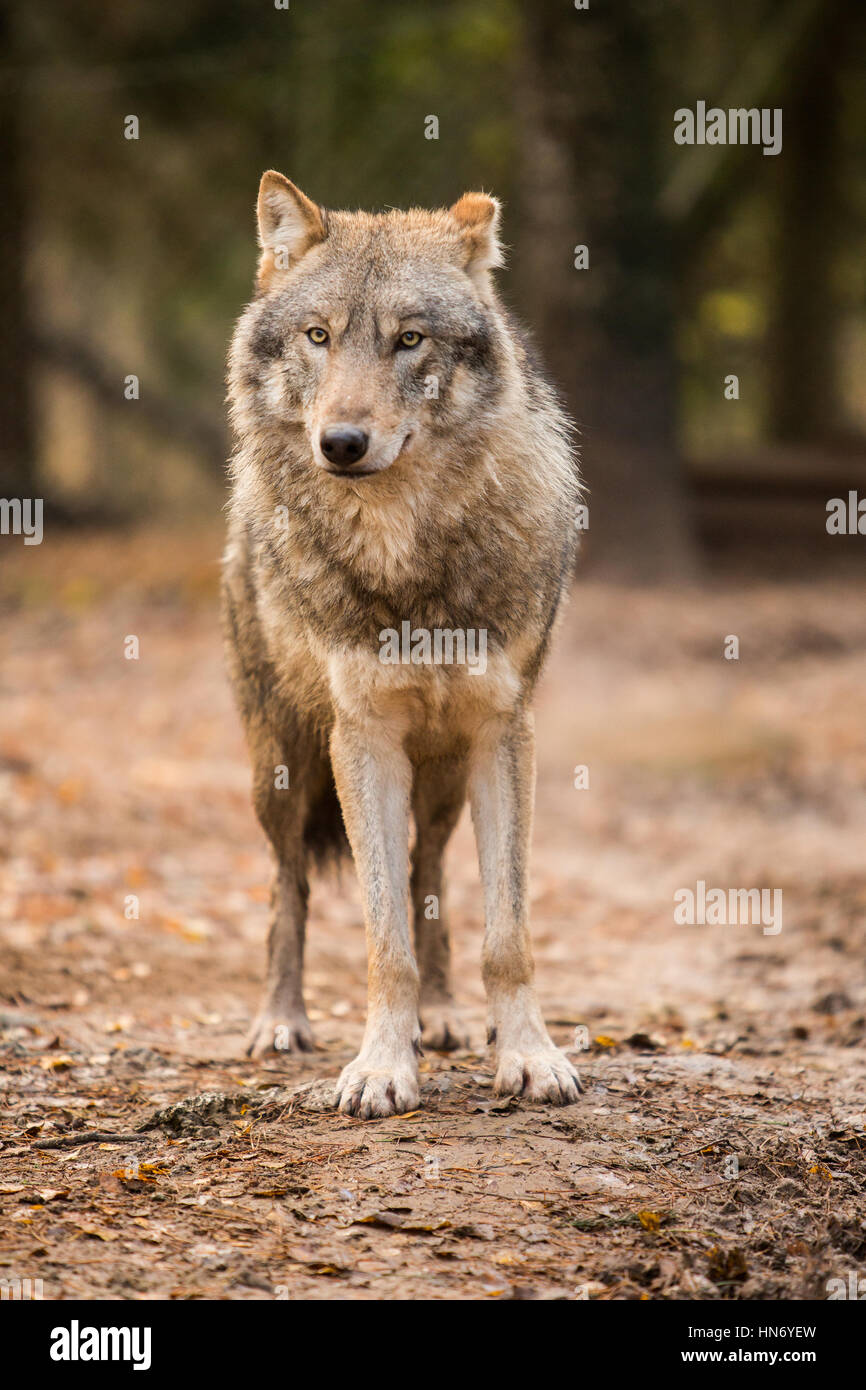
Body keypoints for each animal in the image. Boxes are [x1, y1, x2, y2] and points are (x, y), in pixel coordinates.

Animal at [223, 171, 583, 1118]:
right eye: (318, 336)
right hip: (282, 765)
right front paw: (382, 1066)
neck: (406, 559)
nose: (342, 443)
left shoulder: (504, 733)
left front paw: (527, 1056)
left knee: (432, 880)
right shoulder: (365, 740)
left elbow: (504, 933)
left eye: (409, 339)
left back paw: (448, 1013)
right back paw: (280, 1021)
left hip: (445, 777)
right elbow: (384, 942)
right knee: (288, 889)